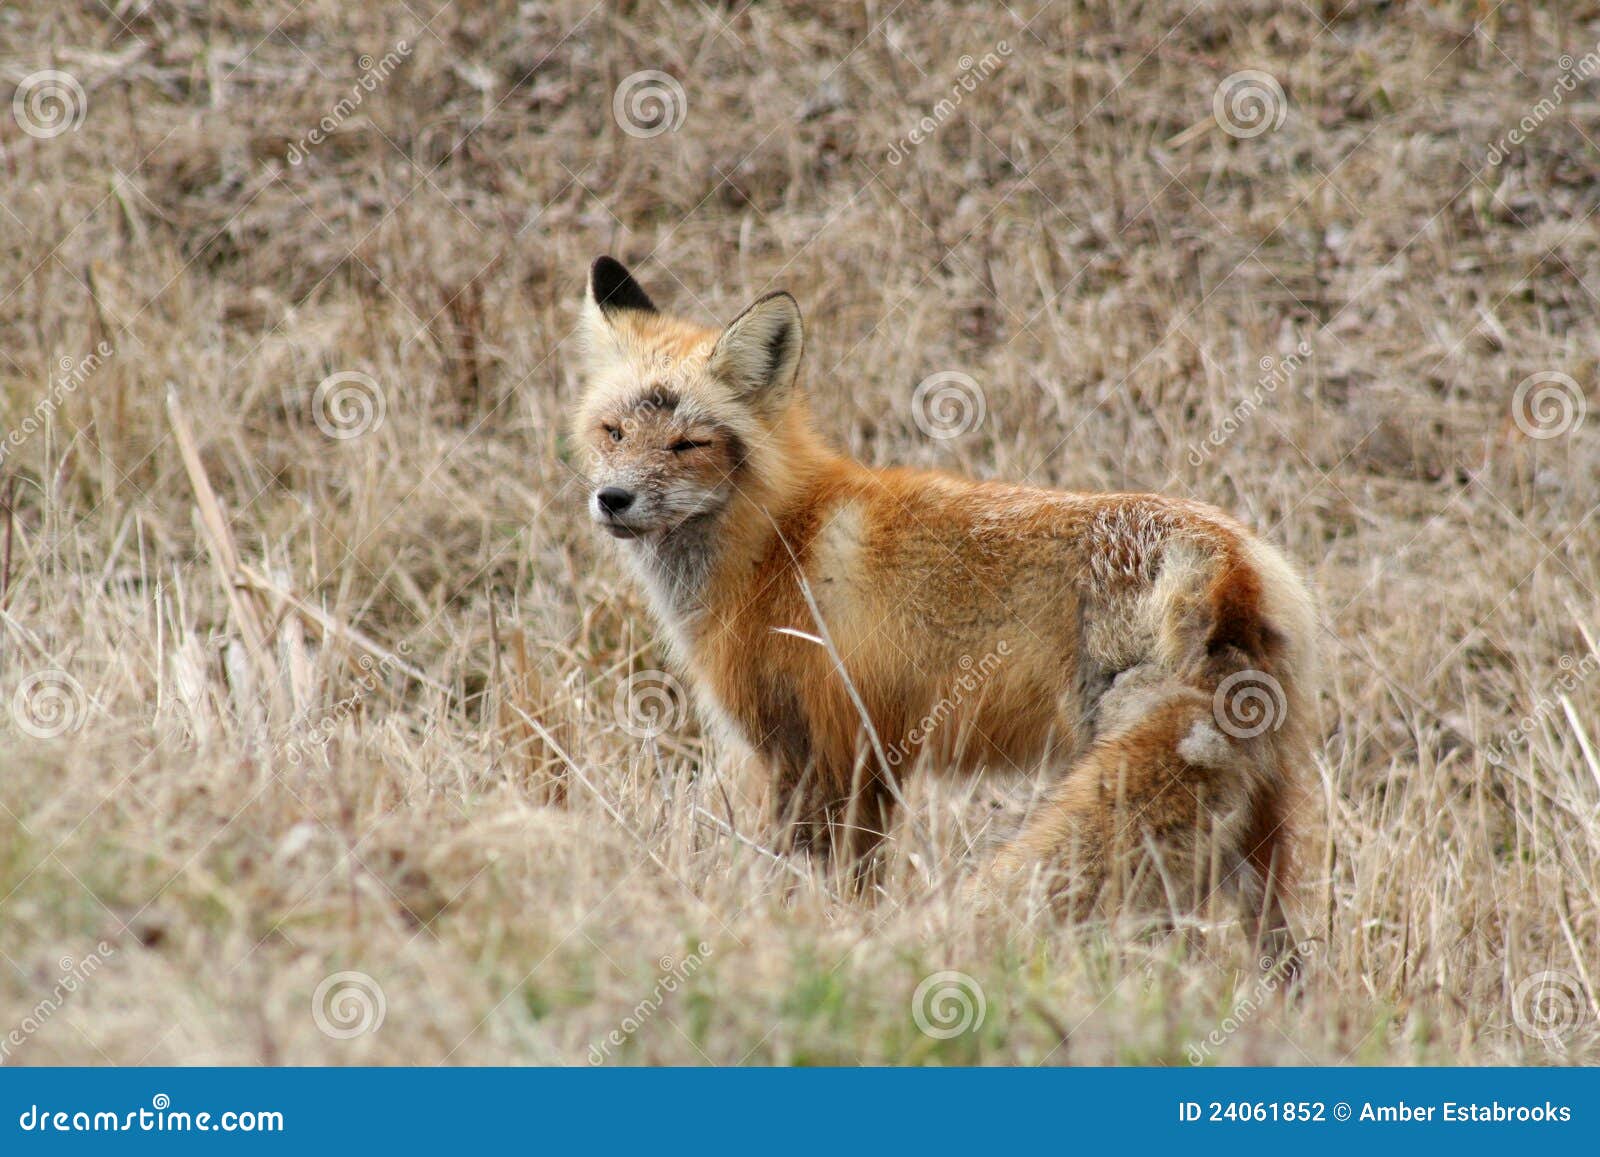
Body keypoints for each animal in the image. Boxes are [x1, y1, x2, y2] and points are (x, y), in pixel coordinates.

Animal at [574, 256, 1319, 956]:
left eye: (687, 444)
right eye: (613, 432)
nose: (613, 499)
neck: (778, 536)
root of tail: (1228, 566)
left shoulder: (828, 752)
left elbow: (817, 878)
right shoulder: (860, 755)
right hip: (1256, 814)